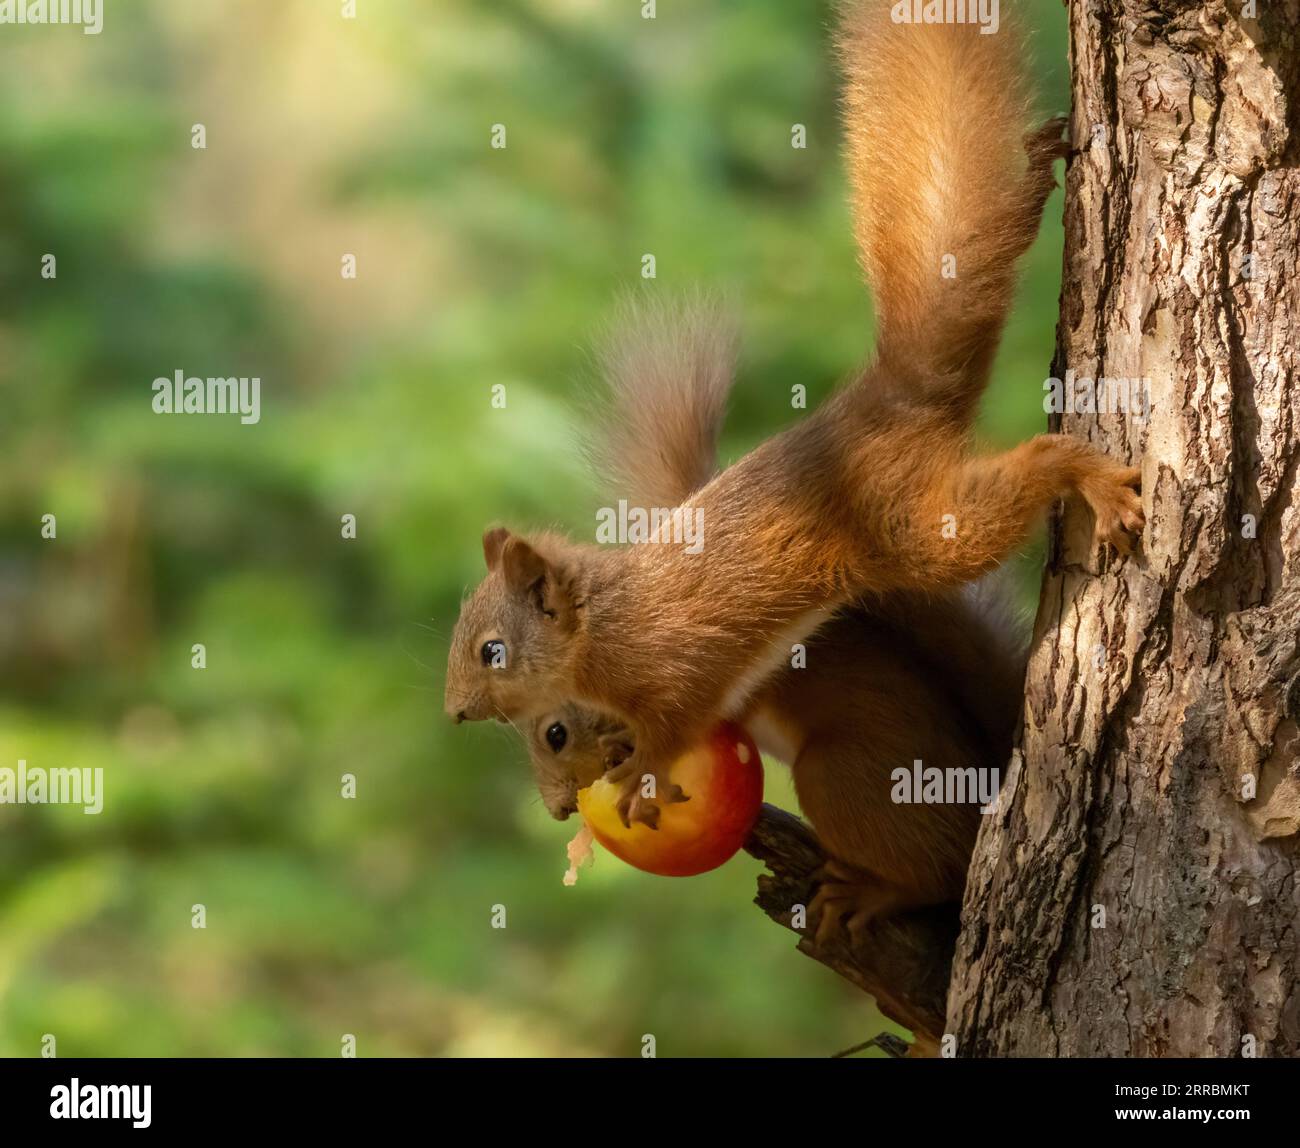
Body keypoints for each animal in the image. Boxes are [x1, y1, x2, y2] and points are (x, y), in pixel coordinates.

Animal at [444, 0, 1145, 832]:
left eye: (492, 651)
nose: (454, 711)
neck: (603, 625)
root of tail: (881, 399)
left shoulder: (673, 669)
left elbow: (675, 728)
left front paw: (639, 781)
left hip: (912, 526)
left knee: (1015, 484)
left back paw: (1085, 471)